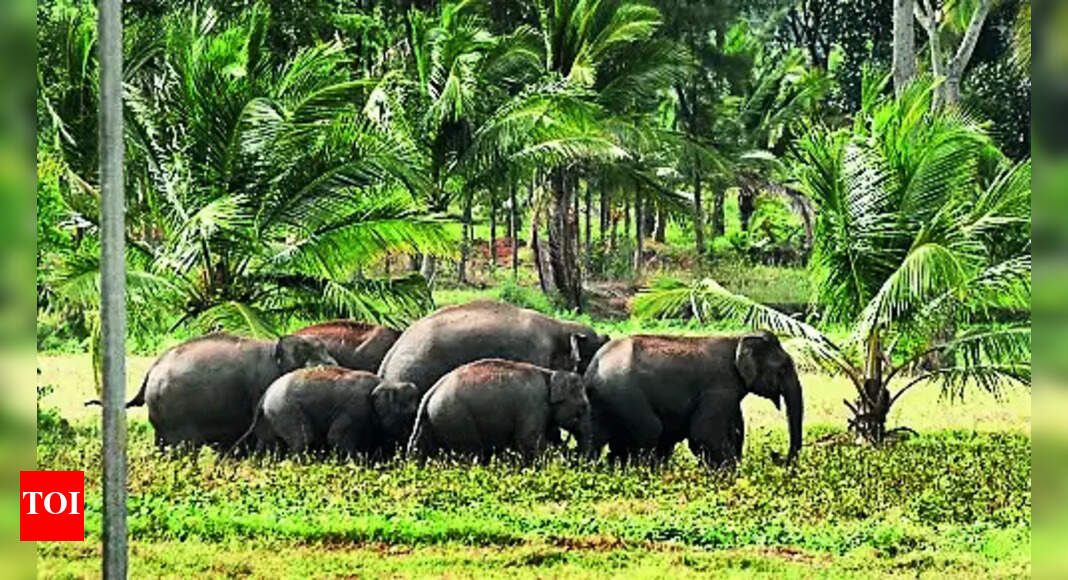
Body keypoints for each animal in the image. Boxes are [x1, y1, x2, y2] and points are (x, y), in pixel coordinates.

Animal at [231, 367, 421, 458]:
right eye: (410, 414)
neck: (384, 383)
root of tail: (266, 393)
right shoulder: (355, 409)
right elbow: (335, 438)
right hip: (285, 409)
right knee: (303, 439)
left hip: (272, 415)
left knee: (268, 444)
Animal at [407, 359, 592, 464]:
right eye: (583, 406)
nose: (576, 456)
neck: (549, 374)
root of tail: (430, 393)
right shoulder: (533, 405)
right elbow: (529, 440)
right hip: (455, 417)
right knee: (470, 452)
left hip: (432, 420)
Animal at [584, 331, 803, 468]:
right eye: (783, 368)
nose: (777, 456)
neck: (737, 339)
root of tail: (593, 367)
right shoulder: (719, 387)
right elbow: (703, 434)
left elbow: (735, 428)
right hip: (625, 393)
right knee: (651, 430)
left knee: (597, 439)